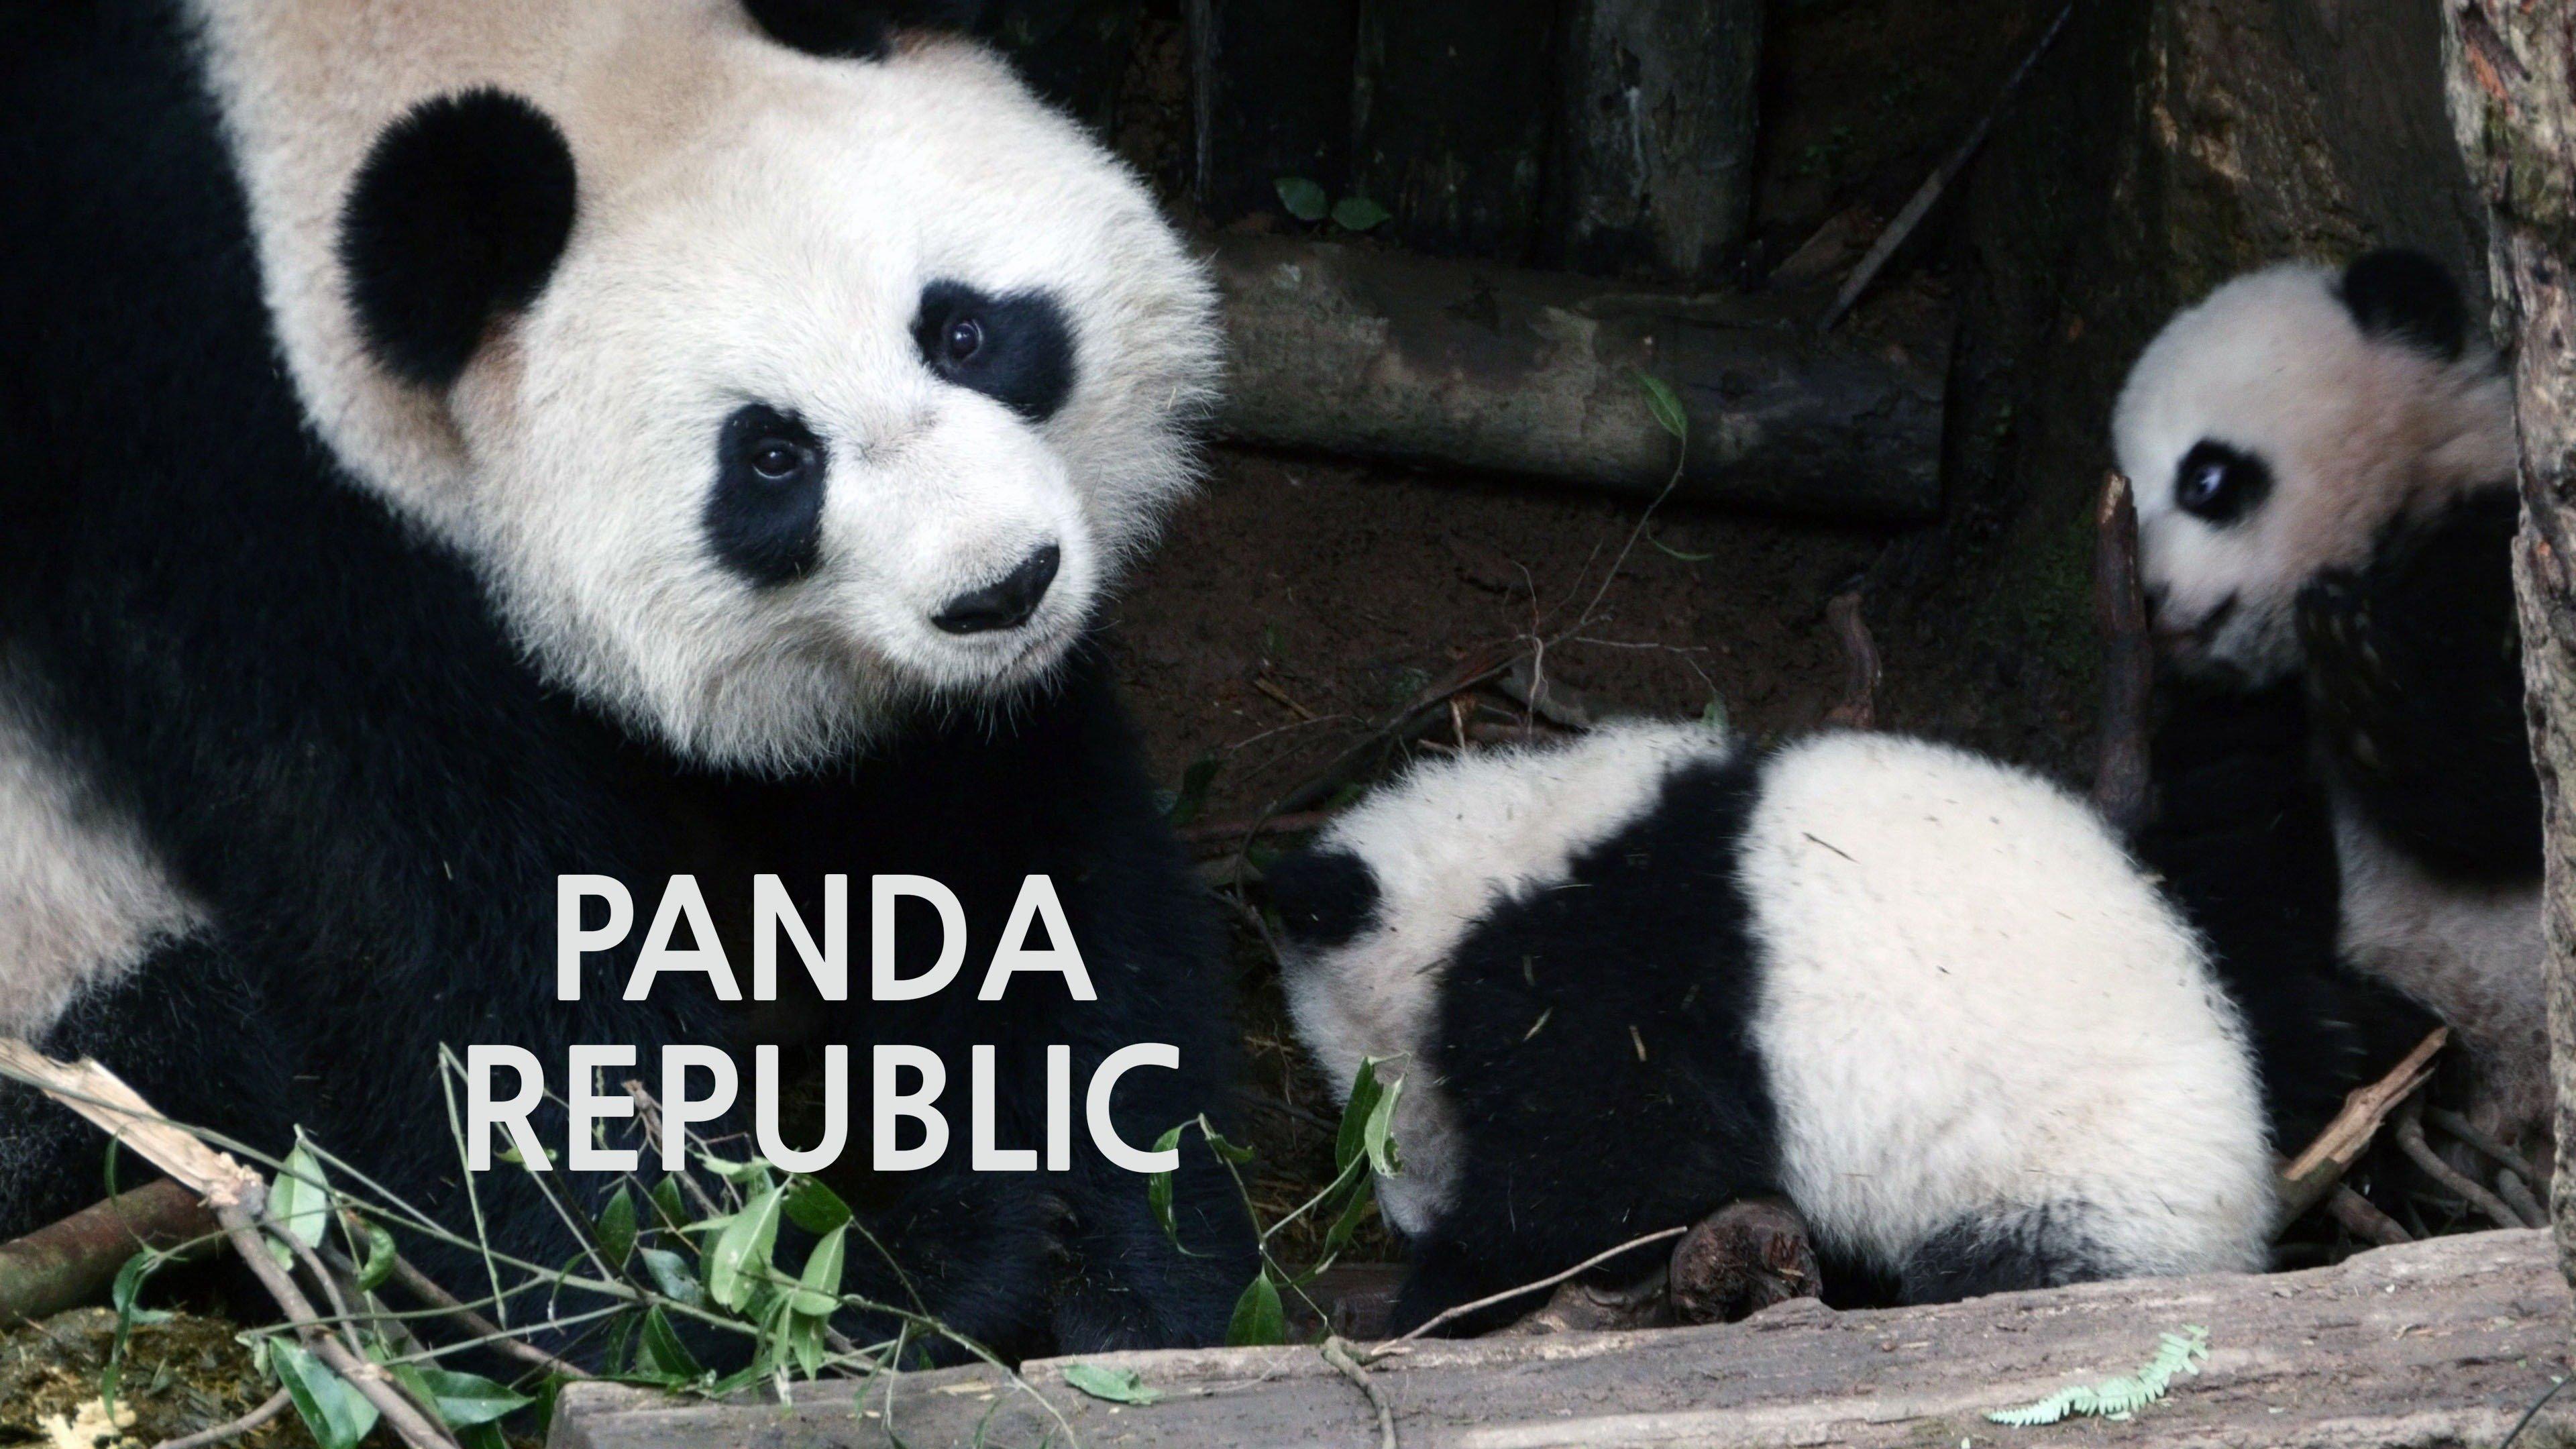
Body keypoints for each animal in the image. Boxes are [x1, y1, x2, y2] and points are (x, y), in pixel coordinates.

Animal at [0, 0, 1252, 1357]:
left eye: (964, 331)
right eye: (770, 459)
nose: (1001, 589)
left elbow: (999, 859)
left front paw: (1106, 1260)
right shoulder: (209, 451)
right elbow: (429, 917)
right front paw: (767, 1300)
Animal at [1266, 722, 2274, 1337]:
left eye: (1381, 1111)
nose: (1400, 1221)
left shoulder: (1637, 975)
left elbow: (1614, 1173)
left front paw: (1442, 1295)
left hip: (2078, 1185)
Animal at [2112, 249, 2545, 1153]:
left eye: (2206, 478)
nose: (2155, 602)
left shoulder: (2487, 537)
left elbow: (2516, 789)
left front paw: (2379, 690)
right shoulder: (2242, 722)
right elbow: (2227, 857)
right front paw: (2313, 1045)